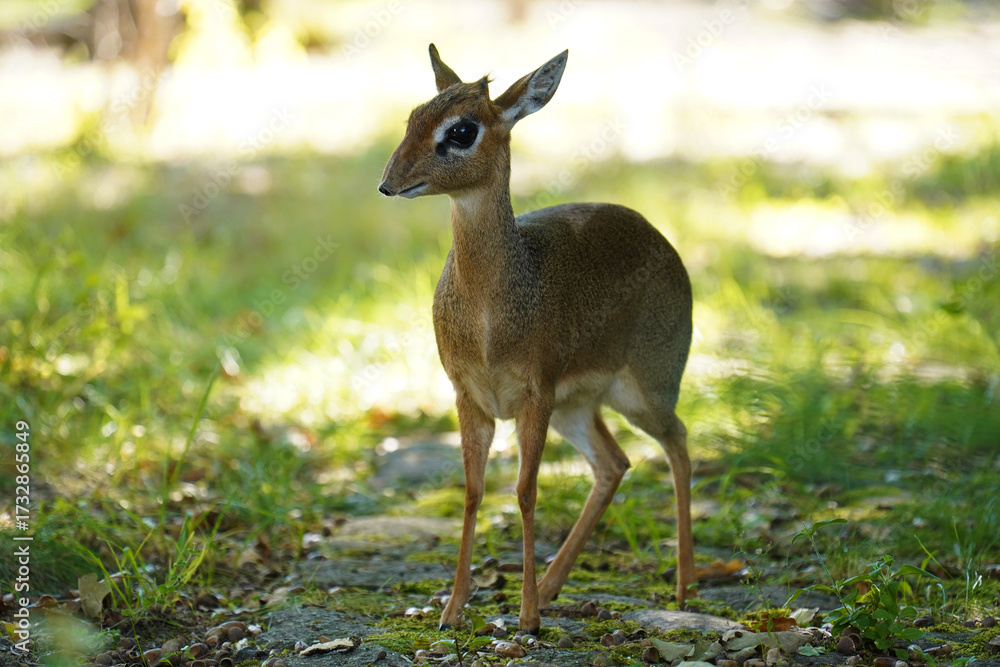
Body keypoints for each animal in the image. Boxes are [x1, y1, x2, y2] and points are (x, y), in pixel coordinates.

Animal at [378, 44, 695, 632]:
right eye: (415, 115)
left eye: (462, 130)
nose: (389, 181)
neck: (488, 317)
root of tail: (662, 240)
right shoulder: (469, 396)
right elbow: (474, 491)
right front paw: (453, 609)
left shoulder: (535, 394)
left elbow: (525, 492)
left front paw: (524, 617)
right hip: (580, 407)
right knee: (614, 464)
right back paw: (550, 588)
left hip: (645, 390)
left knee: (679, 445)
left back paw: (684, 589)